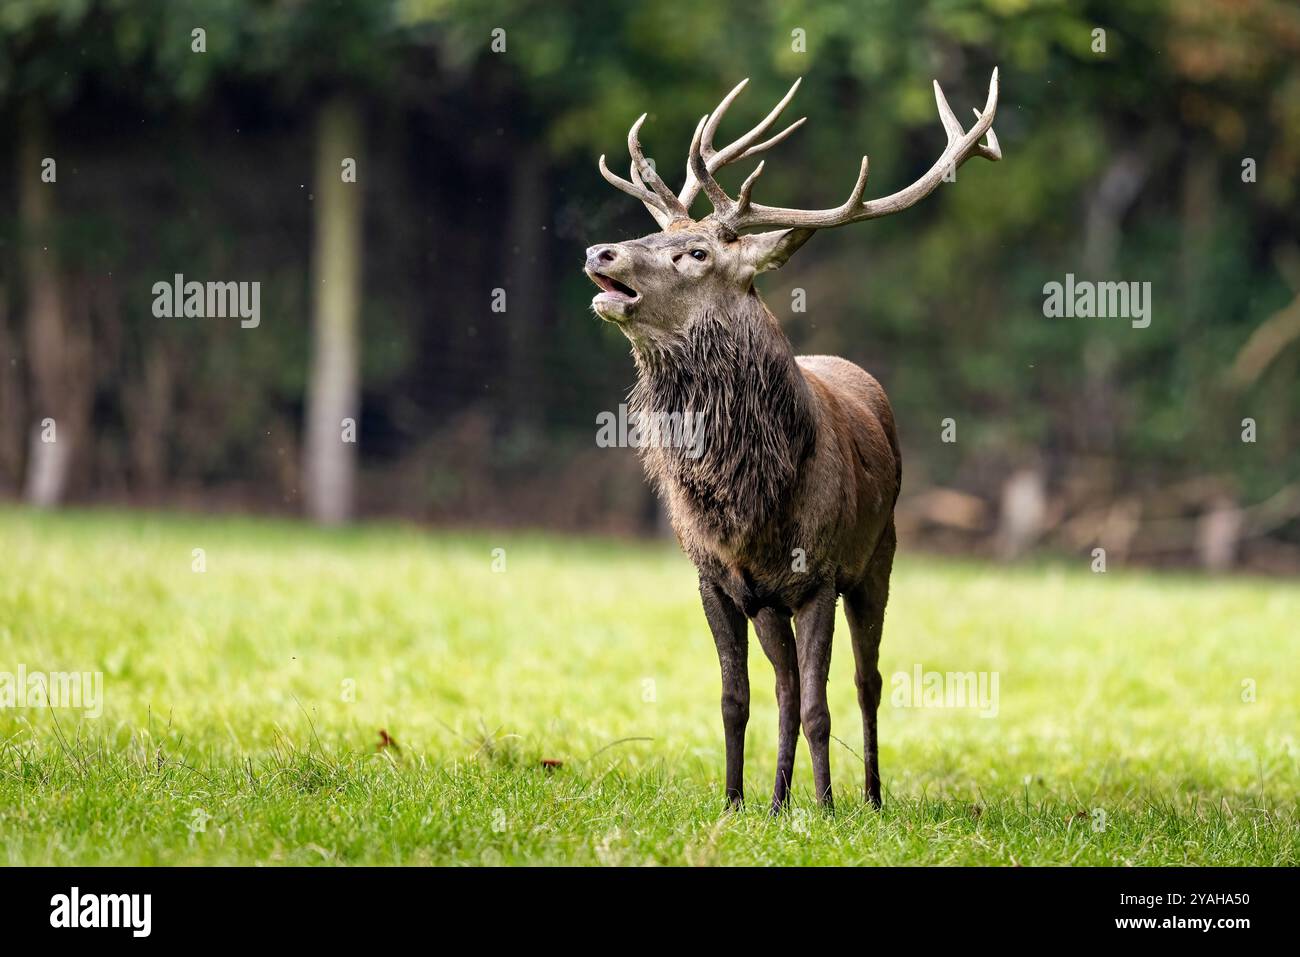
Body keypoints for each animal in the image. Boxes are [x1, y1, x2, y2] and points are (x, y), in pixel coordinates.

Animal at [584, 70, 1001, 812]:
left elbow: (819, 706)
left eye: (695, 252)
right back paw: (779, 801)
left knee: (866, 682)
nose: (597, 251)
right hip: (770, 602)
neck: (748, 500)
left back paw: (869, 796)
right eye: (652, 233)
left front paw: (828, 806)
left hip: (879, 555)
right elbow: (736, 699)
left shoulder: (819, 577)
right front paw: (734, 802)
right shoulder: (717, 579)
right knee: (781, 687)